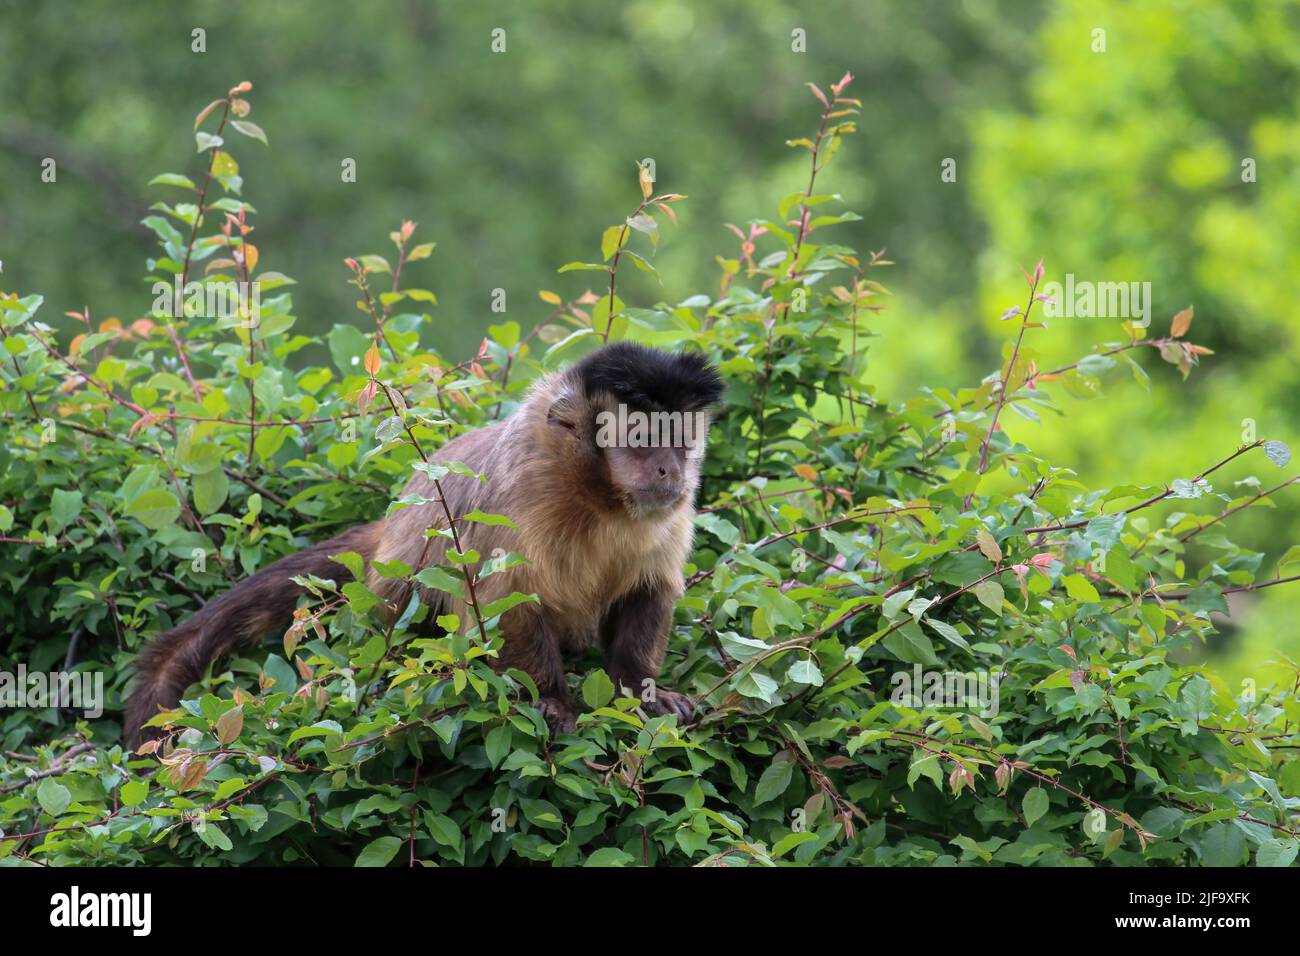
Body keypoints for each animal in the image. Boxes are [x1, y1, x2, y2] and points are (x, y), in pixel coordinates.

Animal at [124, 342, 724, 747]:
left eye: (678, 439)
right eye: (642, 441)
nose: (670, 467)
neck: (600, 499)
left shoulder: (670, 515)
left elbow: (648, 592)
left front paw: (643, 691)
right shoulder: (529, 489)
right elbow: (504, 599)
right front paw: (552, 702)